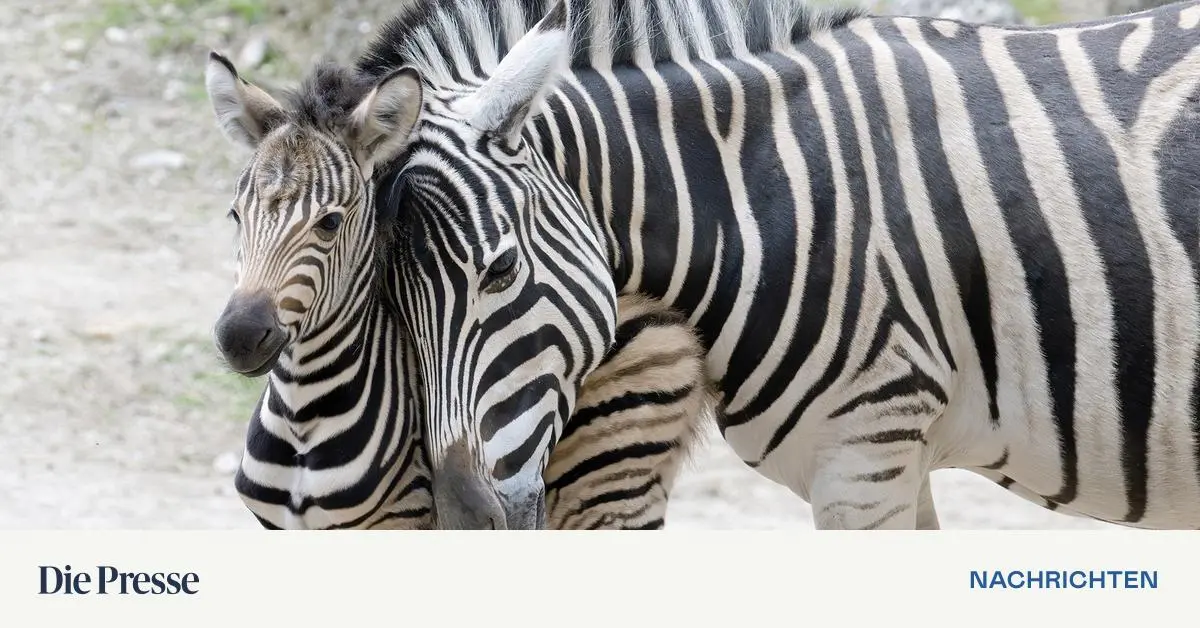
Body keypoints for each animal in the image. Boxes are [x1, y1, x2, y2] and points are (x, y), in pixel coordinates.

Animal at [203, 54, 713, 529]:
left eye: (329, 223)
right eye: (235, 215)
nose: (239, 336)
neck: (302, 416)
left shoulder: (400, 519)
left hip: (608, 481)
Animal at [307, 0, 1199, 530]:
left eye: (497, 273)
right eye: (390, 306)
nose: (462, 520)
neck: (768, 199)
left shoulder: (866, 459)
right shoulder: (894, 459)